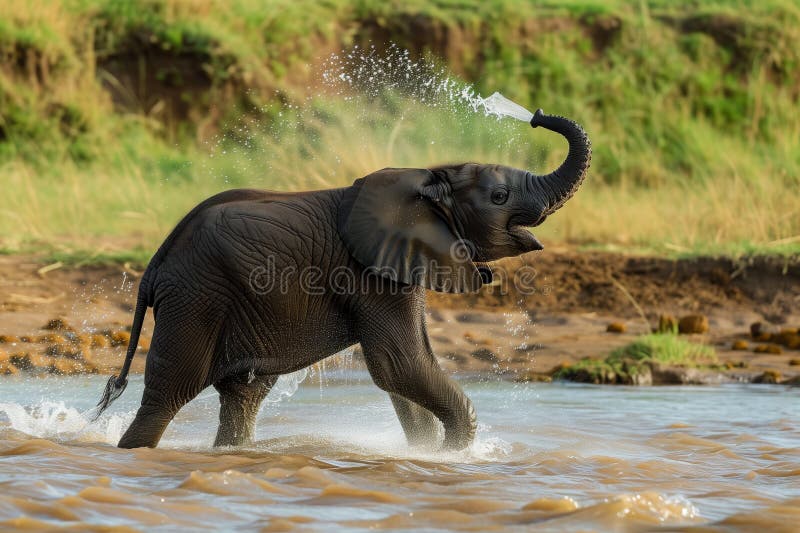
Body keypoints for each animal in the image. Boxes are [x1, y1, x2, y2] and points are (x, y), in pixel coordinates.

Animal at [93, 109, 591, 450]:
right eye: (500, 196)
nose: (537, 116)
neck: (429, 177)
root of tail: (154, 265)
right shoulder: (370, 272)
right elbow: (400, 365)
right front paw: (447, 455)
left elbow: (407, 369)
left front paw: (429, 452)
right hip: (195, 298)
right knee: (168, 394)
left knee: (243, 396)